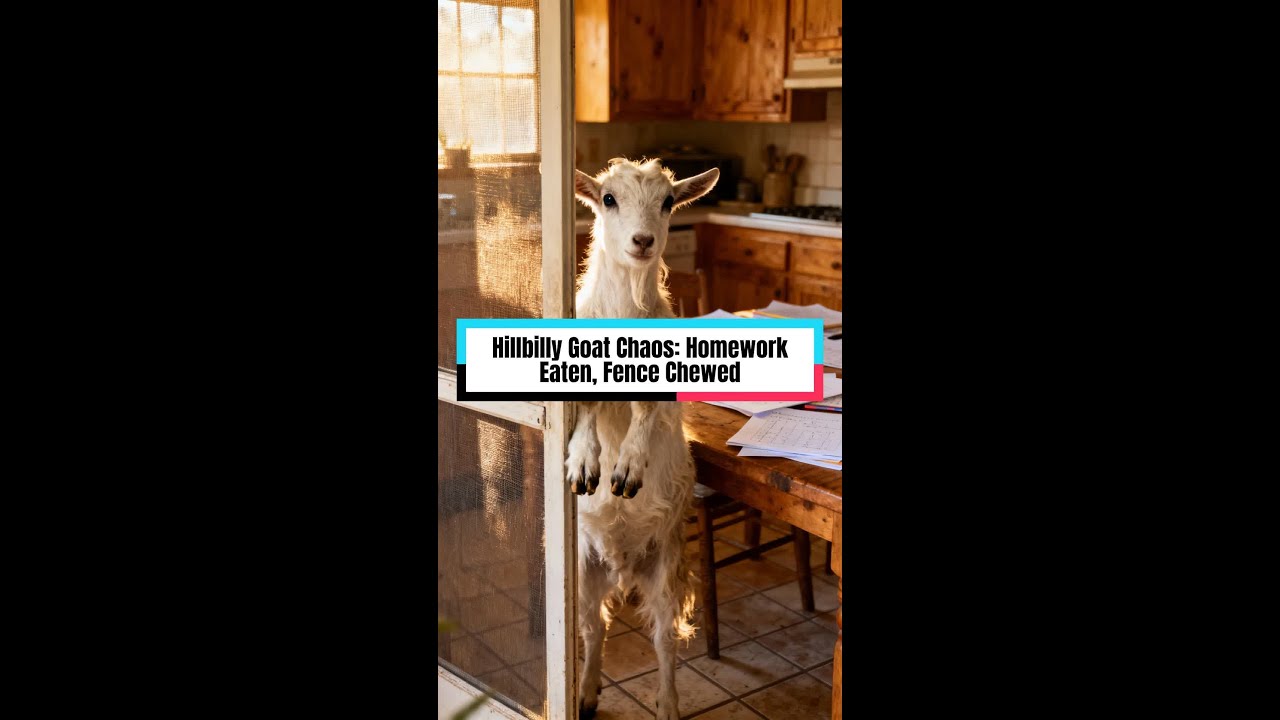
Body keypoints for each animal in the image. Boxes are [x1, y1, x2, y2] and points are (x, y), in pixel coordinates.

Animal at [569, 158, 719, 720]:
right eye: (608, 198)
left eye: (669, 202)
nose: (642, 241)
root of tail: (623, 565)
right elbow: (585, 410)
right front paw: (583, 462)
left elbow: (645, 414)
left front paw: (627, 468)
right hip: (581, 568)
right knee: (593, 628)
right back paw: (586, 693)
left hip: (667, 567)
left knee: (664, 640)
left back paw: (668, 704)